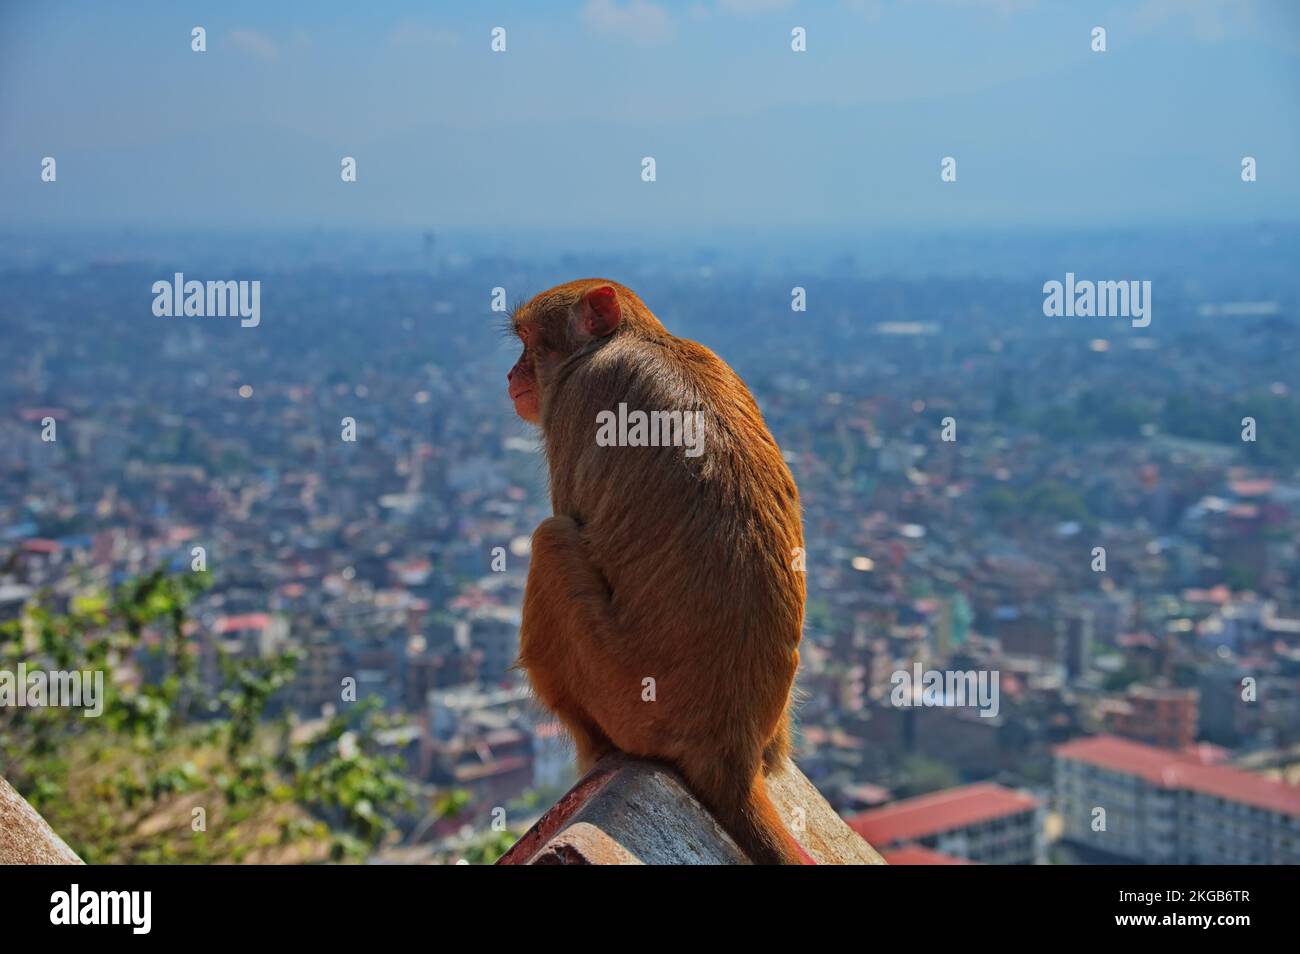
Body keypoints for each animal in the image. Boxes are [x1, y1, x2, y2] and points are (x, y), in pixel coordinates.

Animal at [507, 279, 807, 865]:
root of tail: (730, 752)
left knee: (552, 541)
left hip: (624, 697)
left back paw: (597, 752)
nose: (512, 375)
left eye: (530, 342)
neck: (642, 337)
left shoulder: (578, 396)